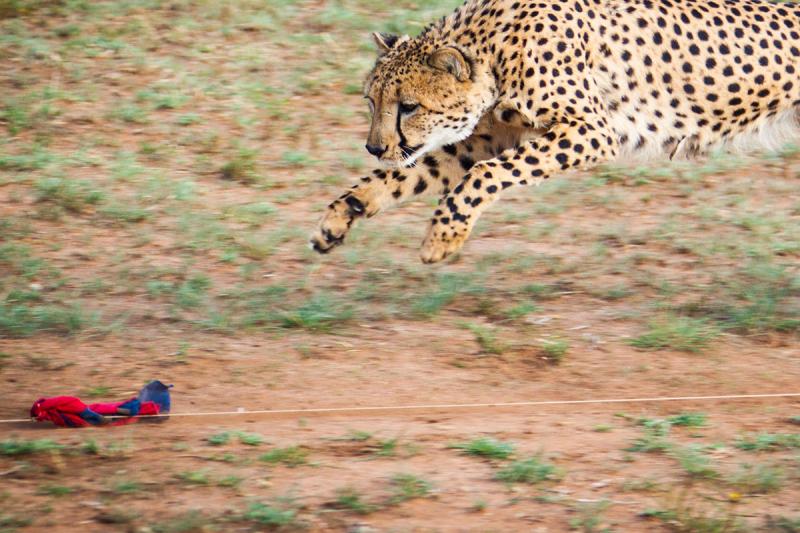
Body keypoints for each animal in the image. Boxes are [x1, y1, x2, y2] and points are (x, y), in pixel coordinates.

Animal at [310, 0, 800, 264]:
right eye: (371, 102)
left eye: (409, 106)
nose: (373, 146)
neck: (493, 46)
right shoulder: (487, 137)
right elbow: (406, 174)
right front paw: (340, 215)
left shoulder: (591, 131)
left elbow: (484, 175)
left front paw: (442, 237)